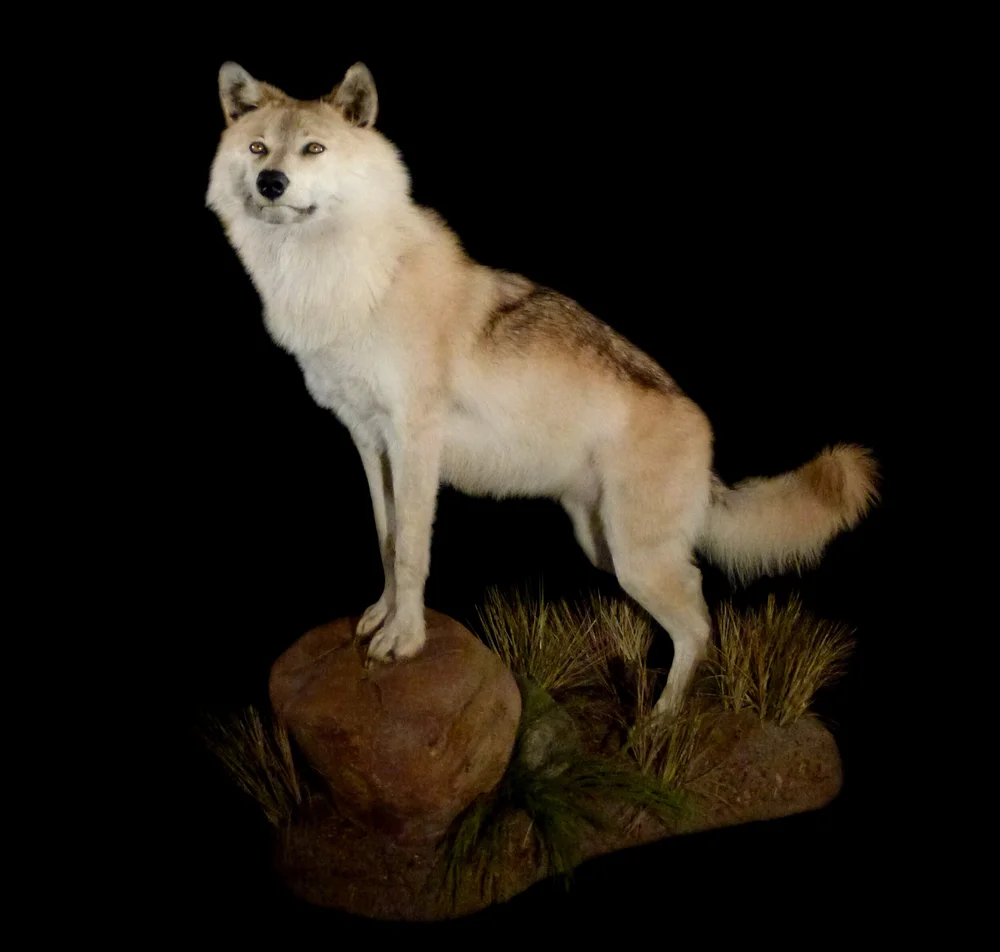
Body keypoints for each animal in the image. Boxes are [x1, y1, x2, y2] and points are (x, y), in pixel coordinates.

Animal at [206, 61, 878, 715]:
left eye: (314, 149)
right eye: (259, 147)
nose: (270, 182)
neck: (347, 281)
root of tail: (704, 435)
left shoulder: (416, 443)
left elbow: (413, 550)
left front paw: (406, 641)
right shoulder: (370, 443)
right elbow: (386, 539)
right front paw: (380, 618)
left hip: (634, 559)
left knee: (697, 620)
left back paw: (660, 722)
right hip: (600, 544)